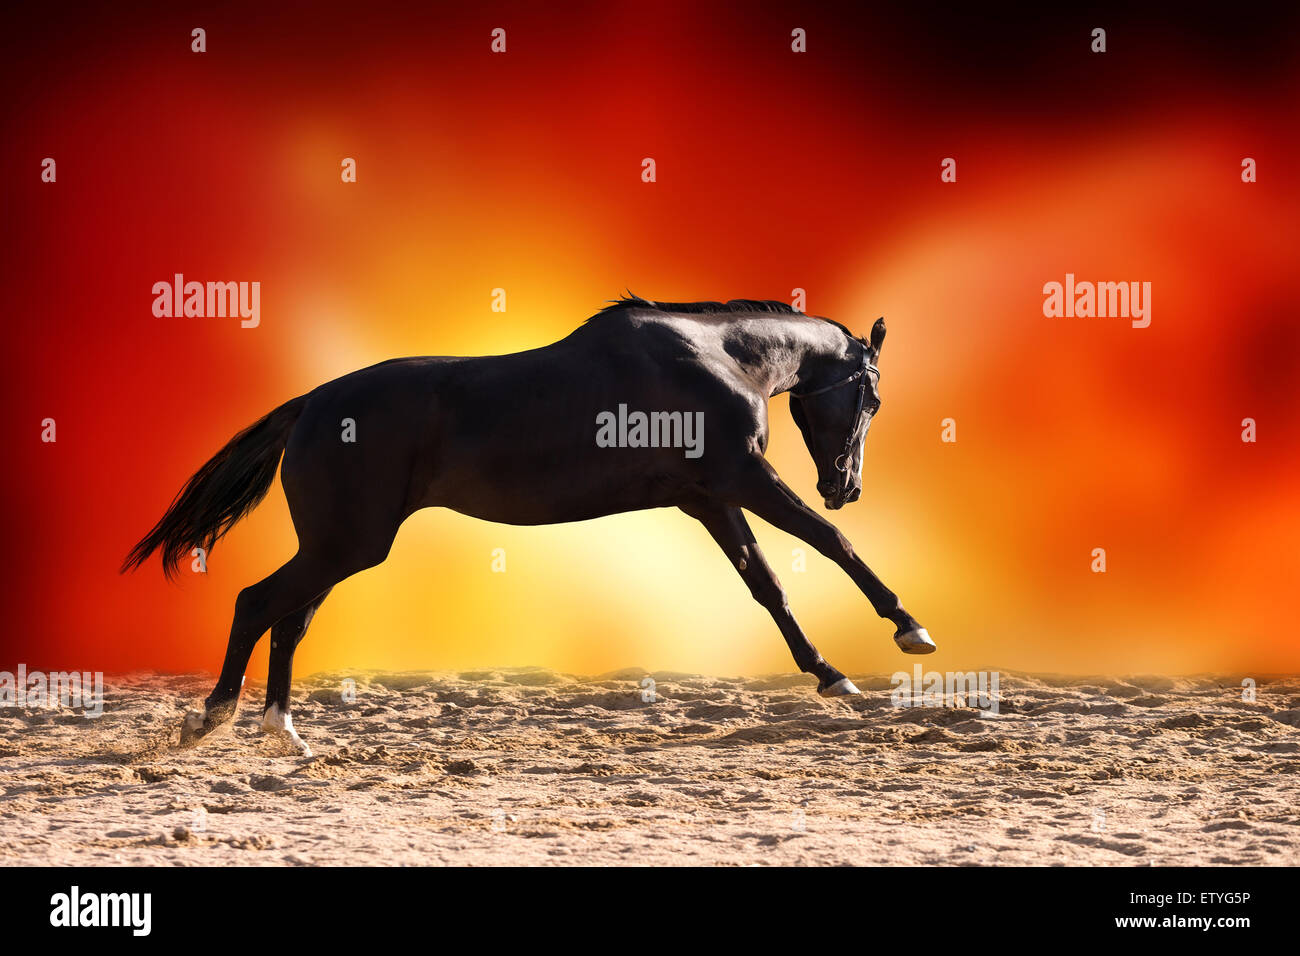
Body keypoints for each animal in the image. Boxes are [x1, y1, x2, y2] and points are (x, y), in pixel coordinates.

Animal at [123, 295, 936, 756]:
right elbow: (830, 545)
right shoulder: (741, 479)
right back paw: (213, 719)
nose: (845, 486)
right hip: (347, 544)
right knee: (257, 603)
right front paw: (908, 628)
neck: (717, 357)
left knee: (289, 619)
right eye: (871, 399)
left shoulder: (709, 497)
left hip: (336, 546)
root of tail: (311, 404)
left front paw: (829, 674)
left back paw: (284, 731)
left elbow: (766, 586)